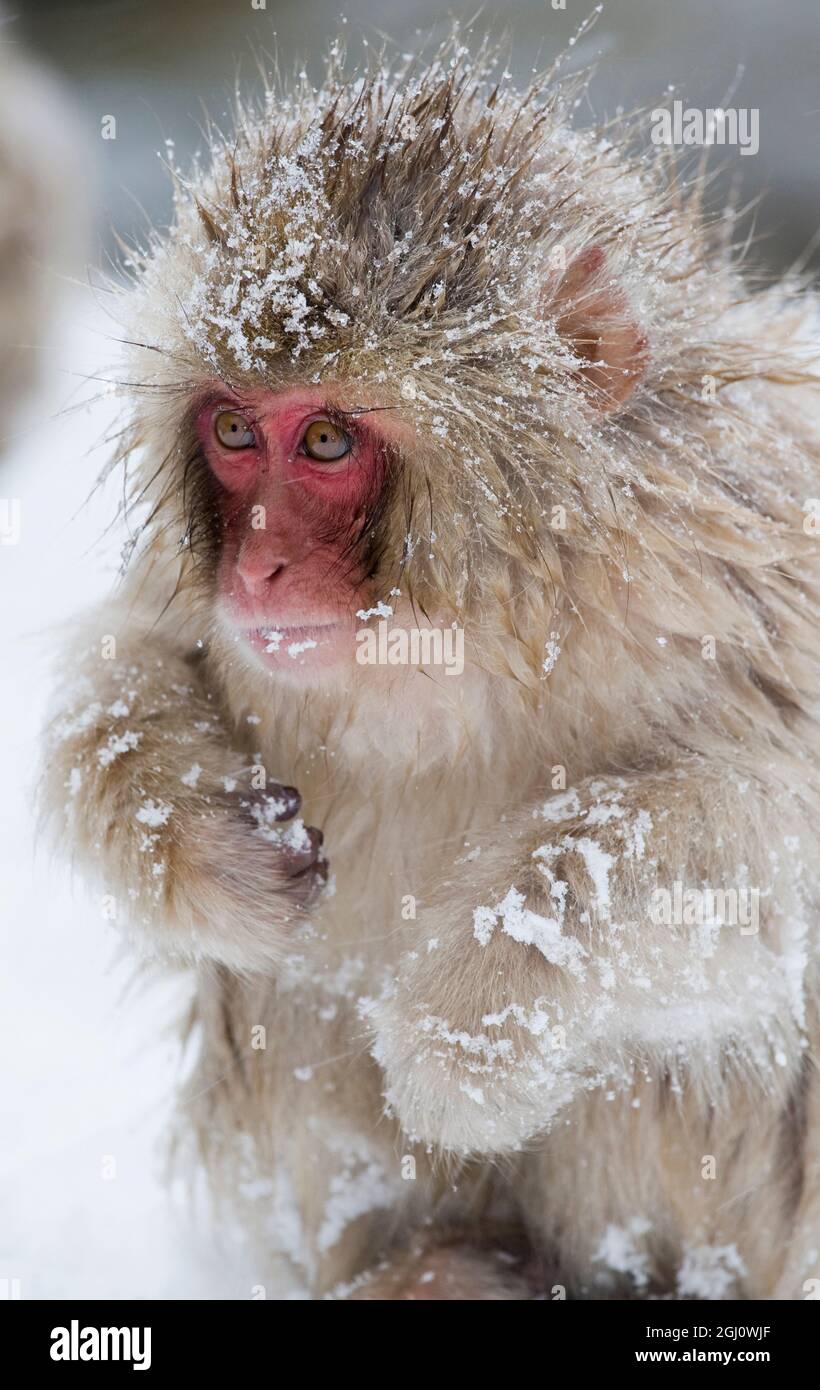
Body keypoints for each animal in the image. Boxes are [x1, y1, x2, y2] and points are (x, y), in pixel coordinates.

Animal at [43, 36, 820, 1300]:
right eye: (234, 432)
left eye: (325, 440)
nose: (257, 568)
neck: (456, 632)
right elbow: (123, 669)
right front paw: (206, 843)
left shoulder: (748, 575)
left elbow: (764, 855)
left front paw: (471, 1024)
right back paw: (434, 1259)